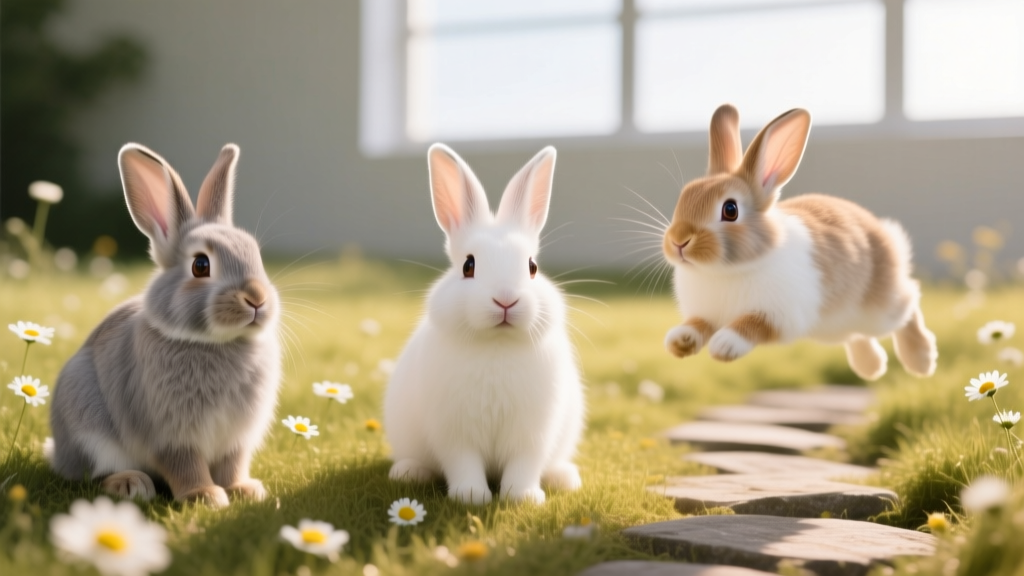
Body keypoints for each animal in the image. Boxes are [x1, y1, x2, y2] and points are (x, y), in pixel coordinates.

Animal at [48, 143, 281, 507]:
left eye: (255, 255)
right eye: (201, 265)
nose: (256, 298)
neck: (216, 342)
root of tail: (58, 453)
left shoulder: (235, 439)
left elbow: (232, 465)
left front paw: (245, 490)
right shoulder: (170, 435)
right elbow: (185, 465)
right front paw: (205, 496)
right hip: (87, 425)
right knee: (93, 476)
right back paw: (131, 484)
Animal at [383, 144, 585, 505]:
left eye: (532, 267)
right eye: (468, 265)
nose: (506, 300)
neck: (496, 344)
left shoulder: (533, 432)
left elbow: (524, 464)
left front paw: (523, 498)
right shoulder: (454, 433)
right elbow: (463, 463)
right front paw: (472, 496)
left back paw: (565, 478)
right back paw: (408, 473)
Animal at [661, 104, 937, 381]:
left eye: (730, 210)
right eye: (684, 197)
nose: (678, 241)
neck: (723, 271)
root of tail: (884, 235)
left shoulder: (779, 314)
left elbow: (751, 324)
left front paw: (724, 345)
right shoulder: (705, 314)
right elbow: (697, 324)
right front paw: (679, 342)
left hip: (880, 309)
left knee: (910, 302)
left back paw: (921, 361)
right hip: (837, 328)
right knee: (859, 336)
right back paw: (870, 367)